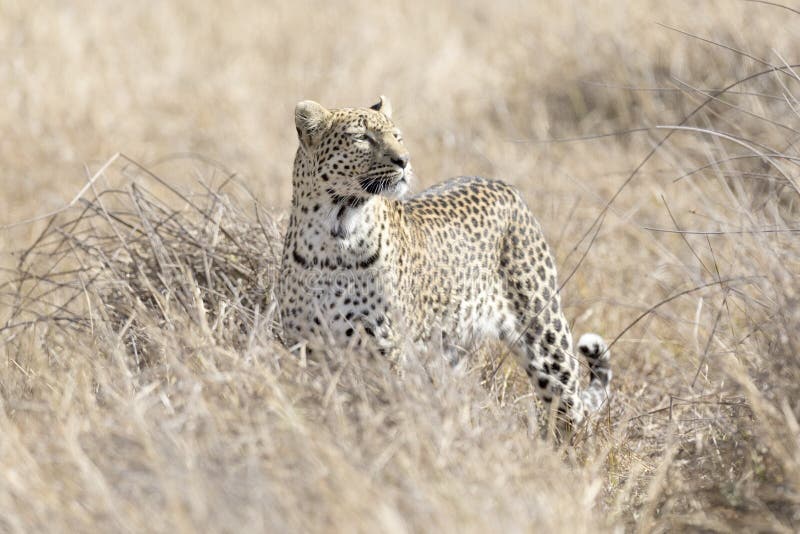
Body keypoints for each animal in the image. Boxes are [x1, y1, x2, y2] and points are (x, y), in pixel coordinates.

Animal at [277, 96, 612, 430]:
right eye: (361, 138)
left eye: (397, 136)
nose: (404, 160)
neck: (335, 232)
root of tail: (502, 185)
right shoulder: (305, 348)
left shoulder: (384, 350)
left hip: (544, 333)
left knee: (570, 407)